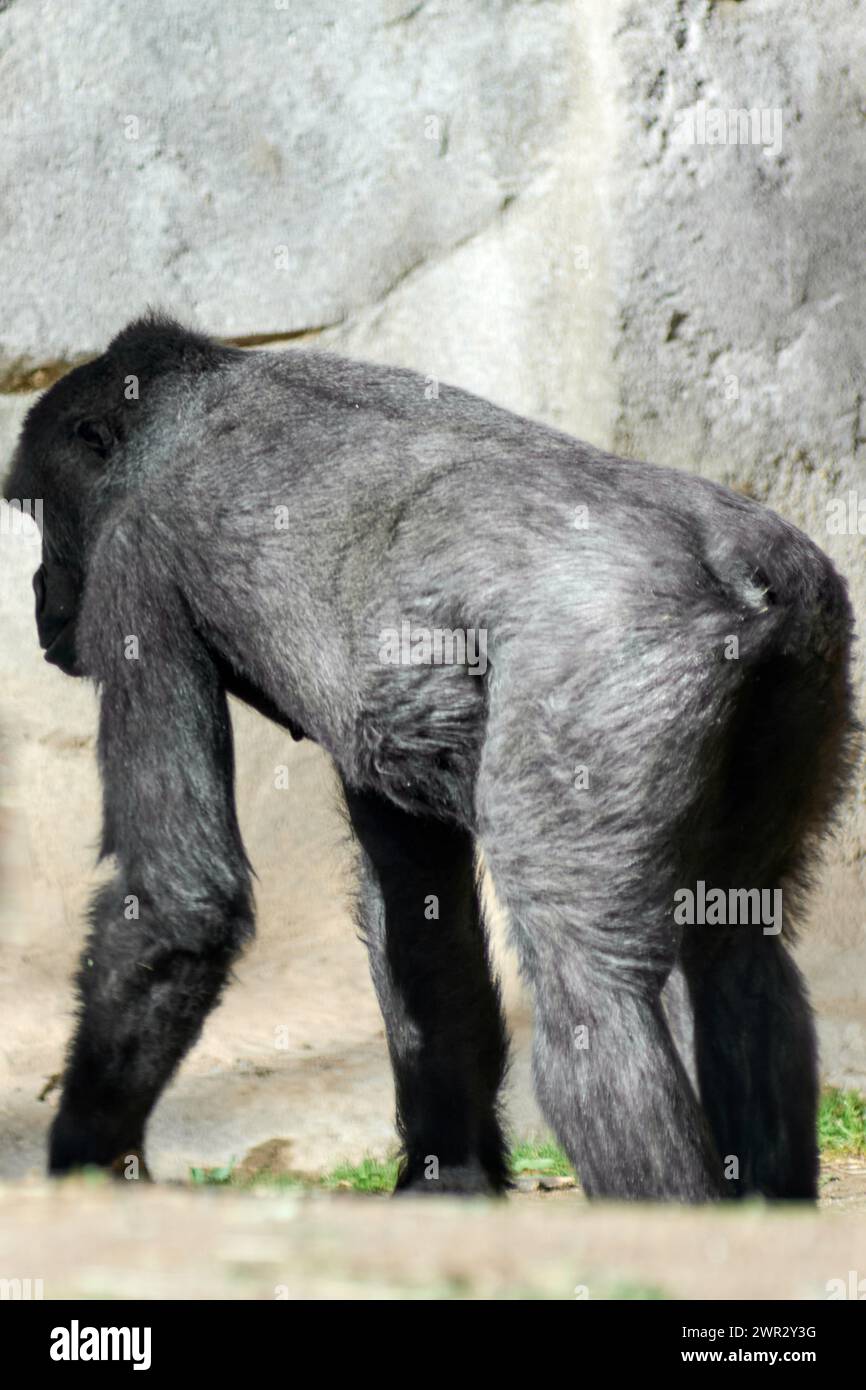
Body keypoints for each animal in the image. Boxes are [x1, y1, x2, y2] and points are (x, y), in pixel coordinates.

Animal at [3, 313, 855, 1198]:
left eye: (39, 516)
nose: (37, 595)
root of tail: (736, 559)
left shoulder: (131, 571)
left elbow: (179, 901)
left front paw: (85, 1159)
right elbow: (419, 906)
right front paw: (451, 1175)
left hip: (615, 666)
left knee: (592, 994)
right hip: (813, 649)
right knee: (735, 952)